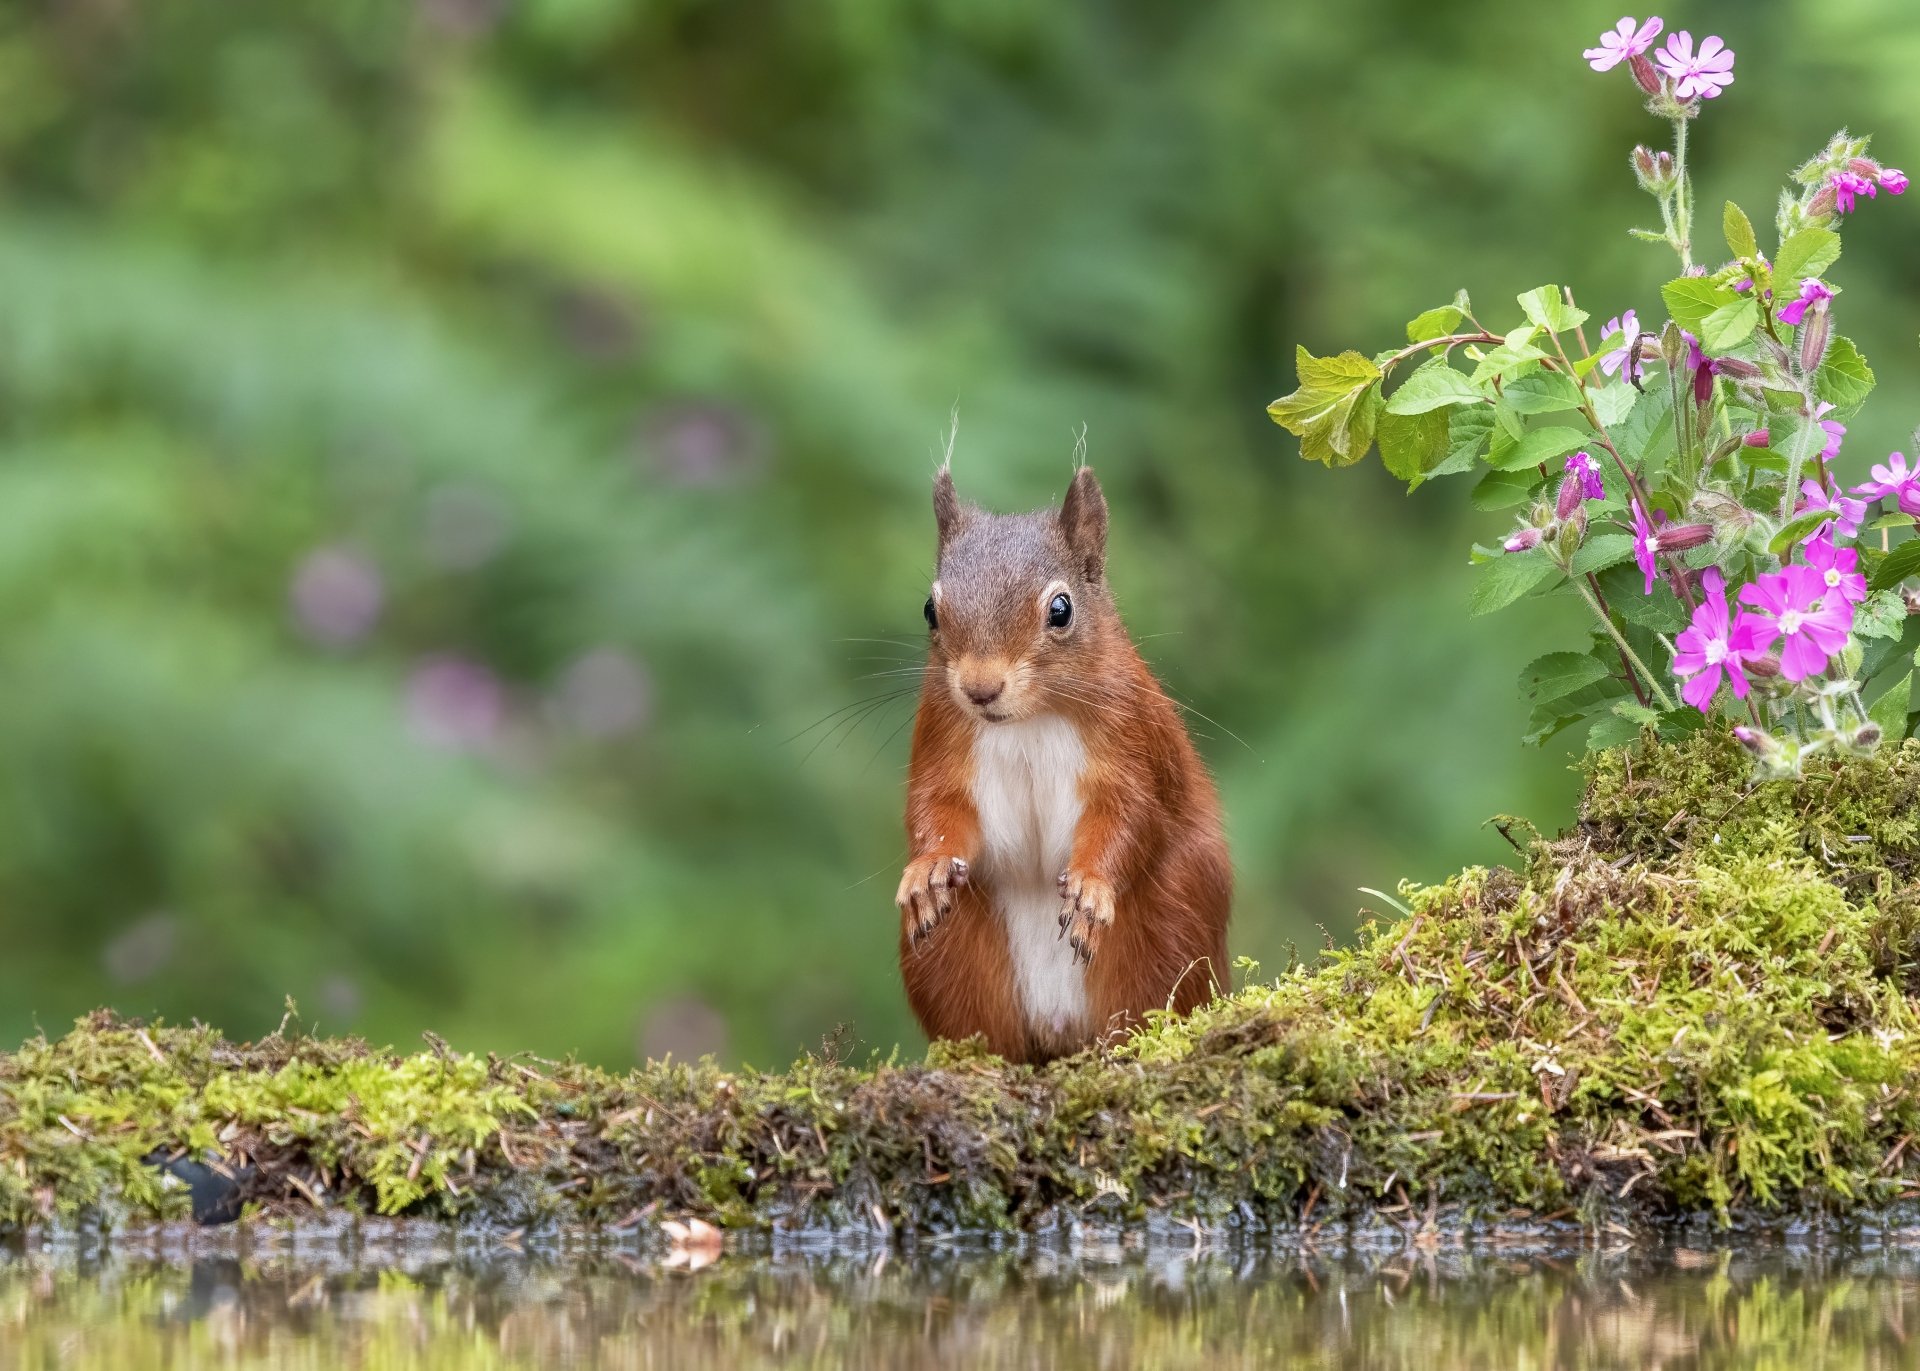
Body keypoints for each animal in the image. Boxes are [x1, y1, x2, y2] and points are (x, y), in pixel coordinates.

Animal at [894, 465, 1232, 1064]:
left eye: (1061, 608)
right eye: (931, 610)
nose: (980, 689)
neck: (1029, 721)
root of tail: (1060, 1030)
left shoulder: (1131, 741)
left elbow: (1130, 816)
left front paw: (1092, 885)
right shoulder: (942, 735)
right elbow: (937, 808)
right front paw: (927, 868)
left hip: (1172, 924)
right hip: (954, 959)